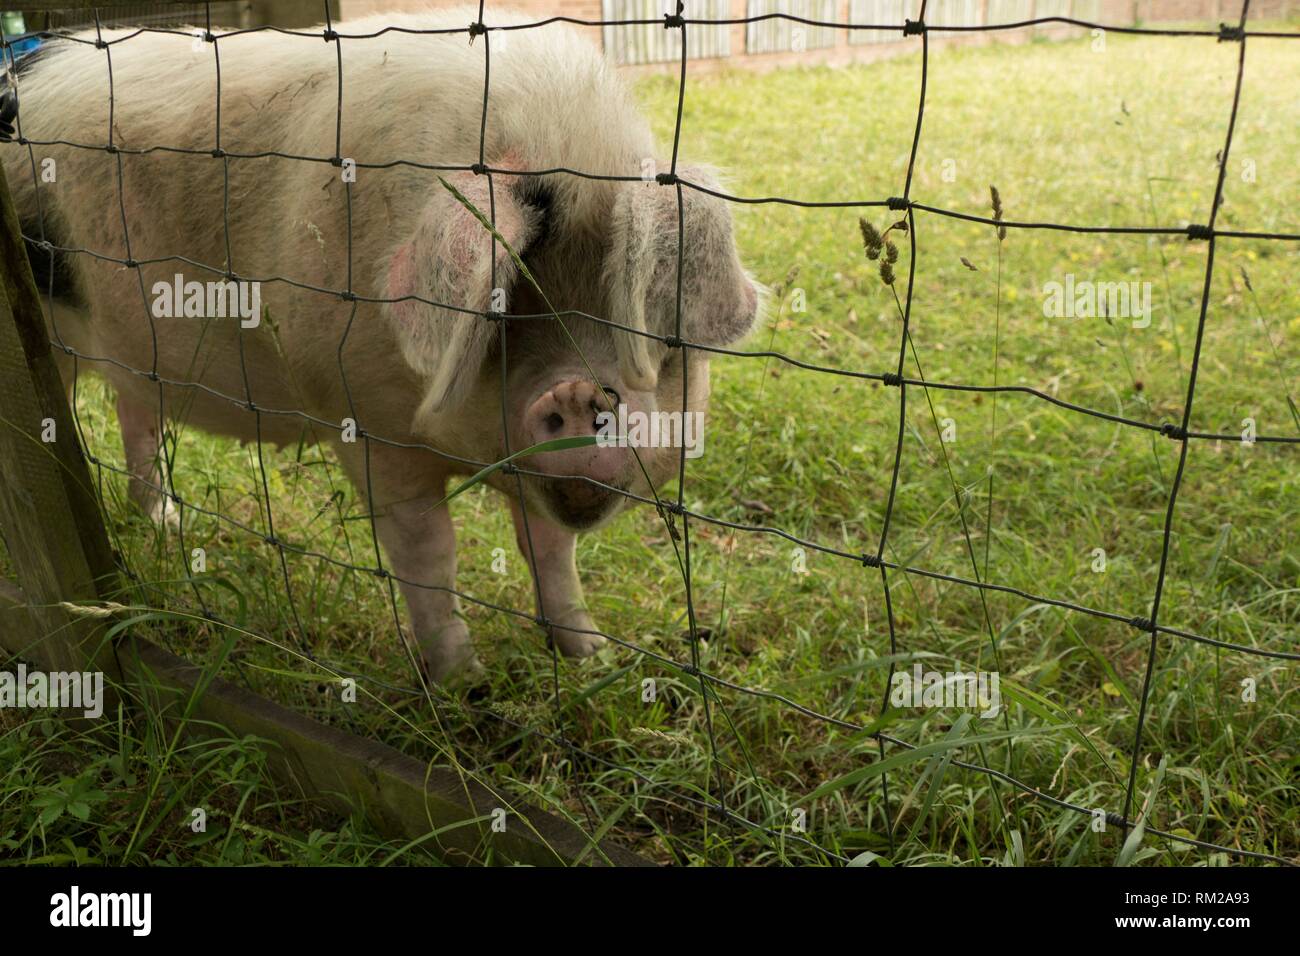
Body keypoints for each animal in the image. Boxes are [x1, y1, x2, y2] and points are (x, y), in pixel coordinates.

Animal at [0, 8, 760, 682]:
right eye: (505, 308)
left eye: (653, 324)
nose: (577, 392)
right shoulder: (365, 423)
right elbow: (429, 556)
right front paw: (464, 685)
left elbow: (549, 550)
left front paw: (593, 658)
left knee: (135, 410)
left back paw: (165, 523)